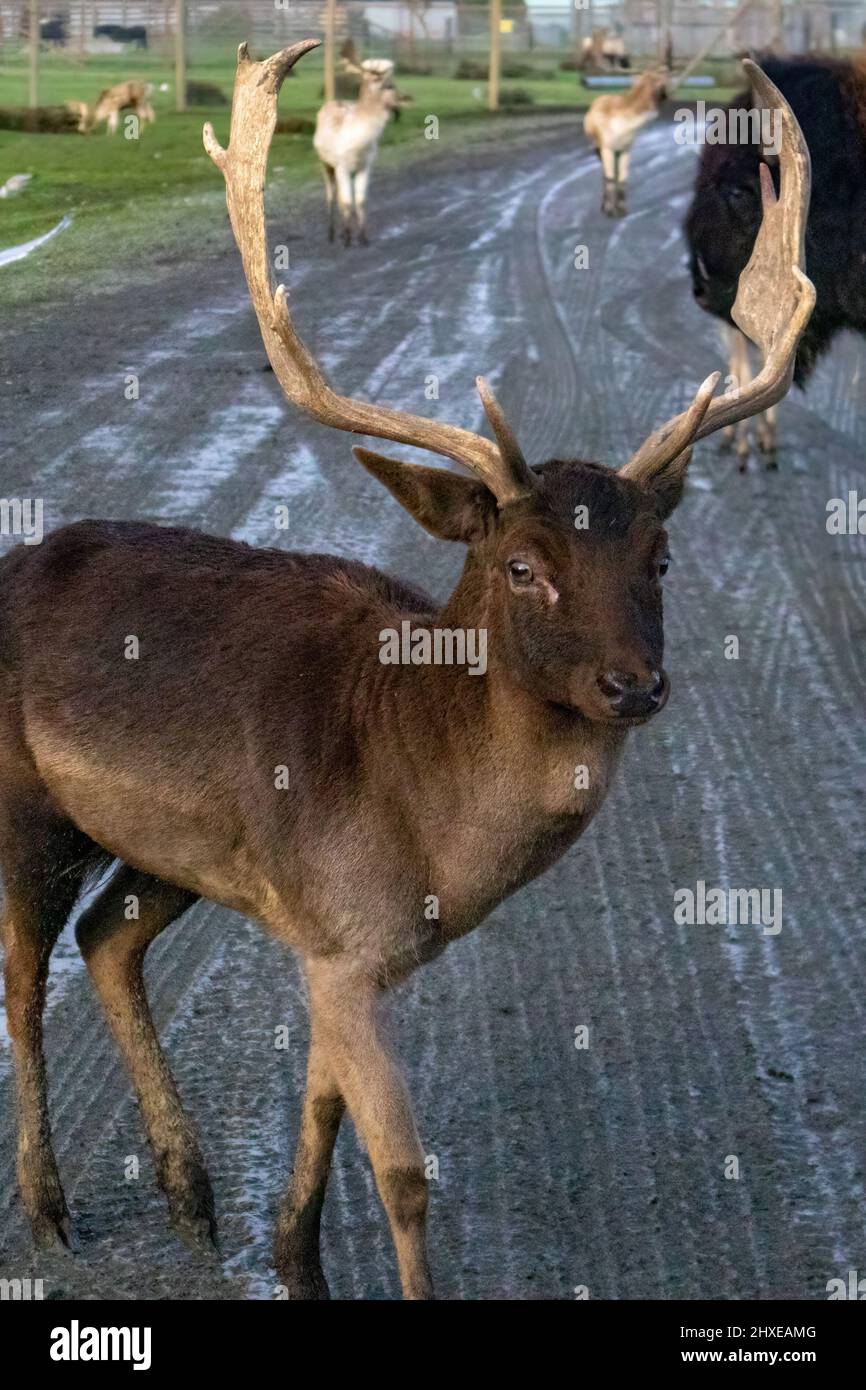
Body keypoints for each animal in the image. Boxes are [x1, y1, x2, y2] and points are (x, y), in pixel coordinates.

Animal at [313, 56, 410, 246]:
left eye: (392, 83)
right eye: (388, 85)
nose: (406, 98)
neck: (359, 144)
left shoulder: (365, 165)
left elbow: (360, 200)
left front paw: (362, 237)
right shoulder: (341, 165)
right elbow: (346, 201)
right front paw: (347, 238)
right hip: (324, 162)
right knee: (331, 195)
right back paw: (332, 234)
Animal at [584, 66, 669, 217]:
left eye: (663, 80)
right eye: (660, 83)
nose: (666, 96)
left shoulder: (626, 148)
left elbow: (623, 178)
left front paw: (622, 210)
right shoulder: (606, 147)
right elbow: (610, 178)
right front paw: (610, 211)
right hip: (598, 147)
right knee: (606, 174)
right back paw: (604, 207)